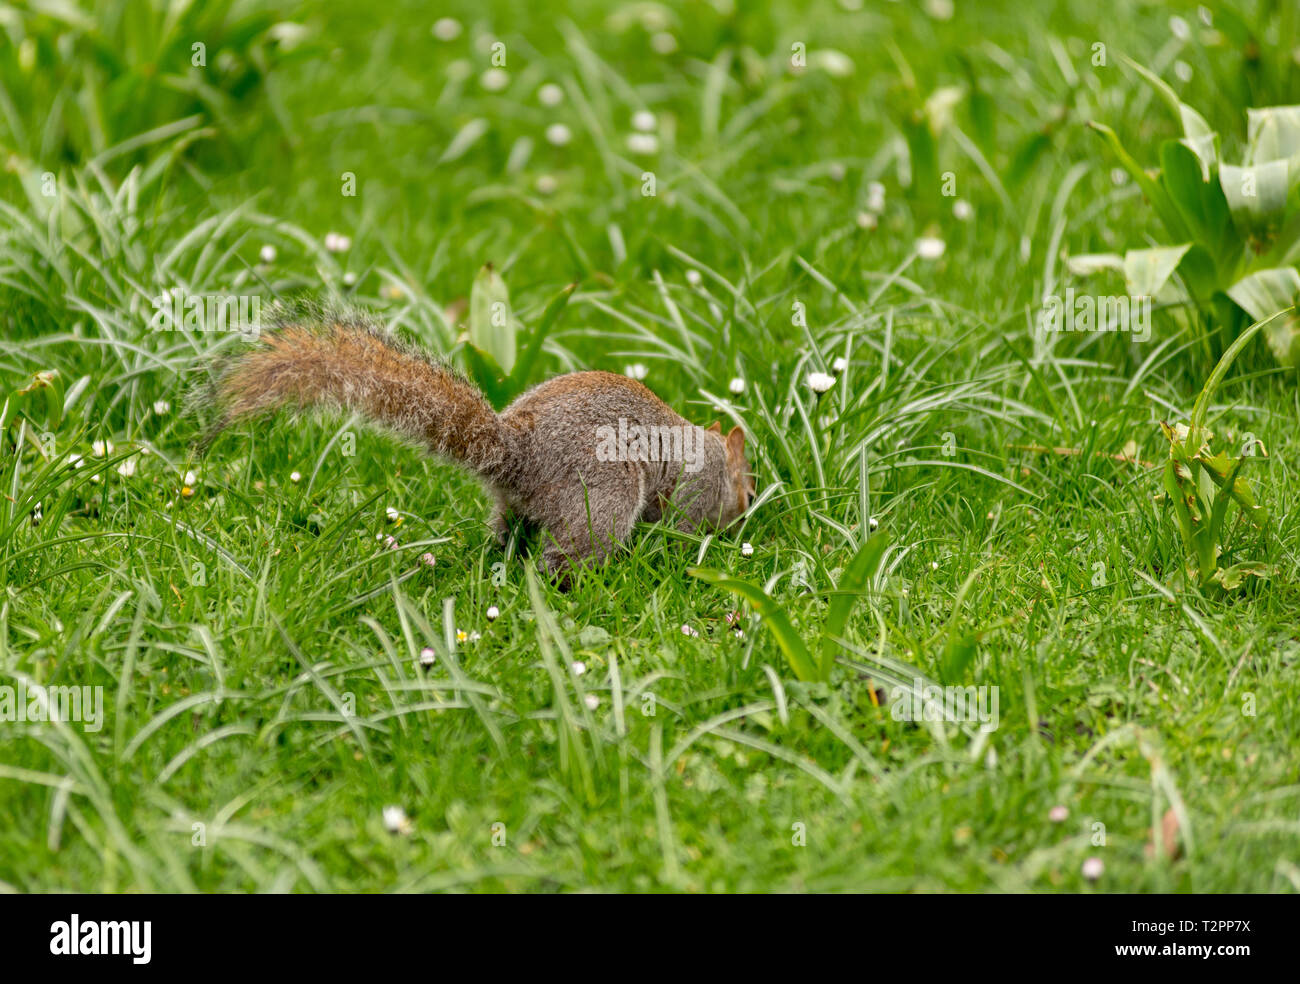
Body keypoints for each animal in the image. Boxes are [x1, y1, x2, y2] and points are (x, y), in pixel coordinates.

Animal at [203, 312, 755, 577]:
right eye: (748, 496)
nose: (743, 524)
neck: (711, 453)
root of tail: (519, 456)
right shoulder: (693, 492)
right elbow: (681, 530)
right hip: (604, 496)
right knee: (566, 557)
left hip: (519, 506)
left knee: (509, 534)